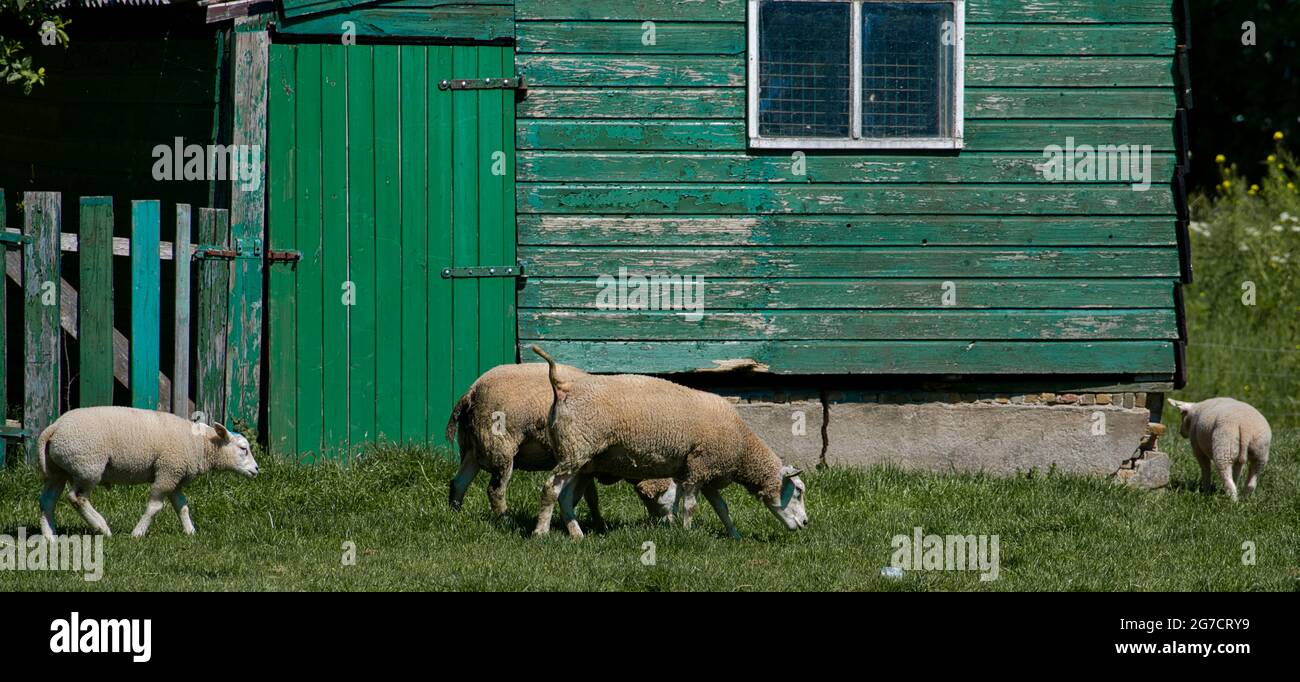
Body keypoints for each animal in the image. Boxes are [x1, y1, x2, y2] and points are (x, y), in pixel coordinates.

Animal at [37, 407, 259, 539]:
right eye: (243, 449)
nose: (257, 470)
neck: (199, 444)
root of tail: (54, 427)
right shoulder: (167, 471)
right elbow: (155, 507)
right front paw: (137, 533)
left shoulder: (175, 476)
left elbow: (182, 507)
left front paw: (190, 532)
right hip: (88, 466)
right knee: (77, 497)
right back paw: (102, 528)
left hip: (58, 469)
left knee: (47, 499)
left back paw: (50, 535)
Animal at [445, 362, 678, 526]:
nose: (668, 524)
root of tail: (472, 391)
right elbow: (580, 496)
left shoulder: (586, 464)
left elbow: (591, 497)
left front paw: (598, 523)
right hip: (501, 446)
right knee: (495, 490)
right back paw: (505, 520)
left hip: (473, 447)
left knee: (458, 483)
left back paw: (455, 515)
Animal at [529, 345, 807, 539]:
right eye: (799, 491)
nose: (806, 524)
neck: (742, 448)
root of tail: (563, 385)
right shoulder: (699, 467)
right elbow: (691, 506)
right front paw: (687, 533)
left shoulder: (708, 473)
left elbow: (722, 508)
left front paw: (734, 535)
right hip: (576, 449)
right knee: (550, 489)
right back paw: (541, 532)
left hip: (580, 457)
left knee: (565, 497)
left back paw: (577, 534)